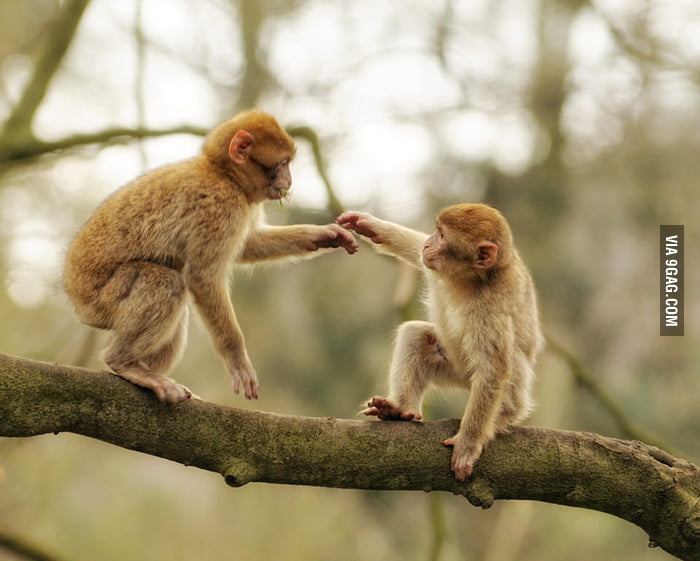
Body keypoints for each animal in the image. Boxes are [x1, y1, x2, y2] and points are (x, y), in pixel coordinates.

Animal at [63, 110, 358, 403]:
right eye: (283, 163)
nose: (289, 181)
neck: (224, 175)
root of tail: (76, 301)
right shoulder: (220, 207)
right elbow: (202, 276)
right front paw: (238, 361)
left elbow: (249, 244)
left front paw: (323, 235)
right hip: (104, 301)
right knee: (165, 282)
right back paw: (126, 363)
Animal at [337, 203, 543, 480]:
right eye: (436, 232)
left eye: (443, 236)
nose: (429, 244)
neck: (473, 279)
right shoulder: (435, 266)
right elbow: (415, 251)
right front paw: (369, 224)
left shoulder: (490, 310)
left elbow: (493, 370)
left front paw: (468, 444)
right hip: (457, 369)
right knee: (416, 335)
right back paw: (400, 409)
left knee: (509, 367)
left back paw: (506, 413)